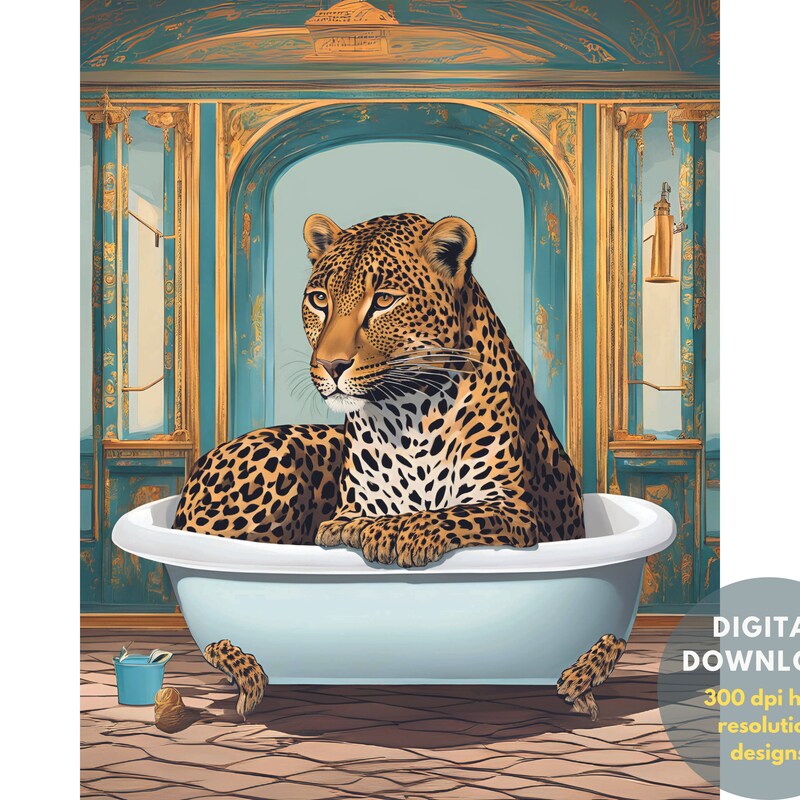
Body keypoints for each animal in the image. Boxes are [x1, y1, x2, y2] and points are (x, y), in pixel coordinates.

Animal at [173, 211, 586, 567]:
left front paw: (399, 532)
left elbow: (452, 513)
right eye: (320, 299)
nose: (331, 365)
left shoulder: (511, 509)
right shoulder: (353, 507)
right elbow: (347, 524)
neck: (410, 414)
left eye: (384, 300)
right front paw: (372, 530)